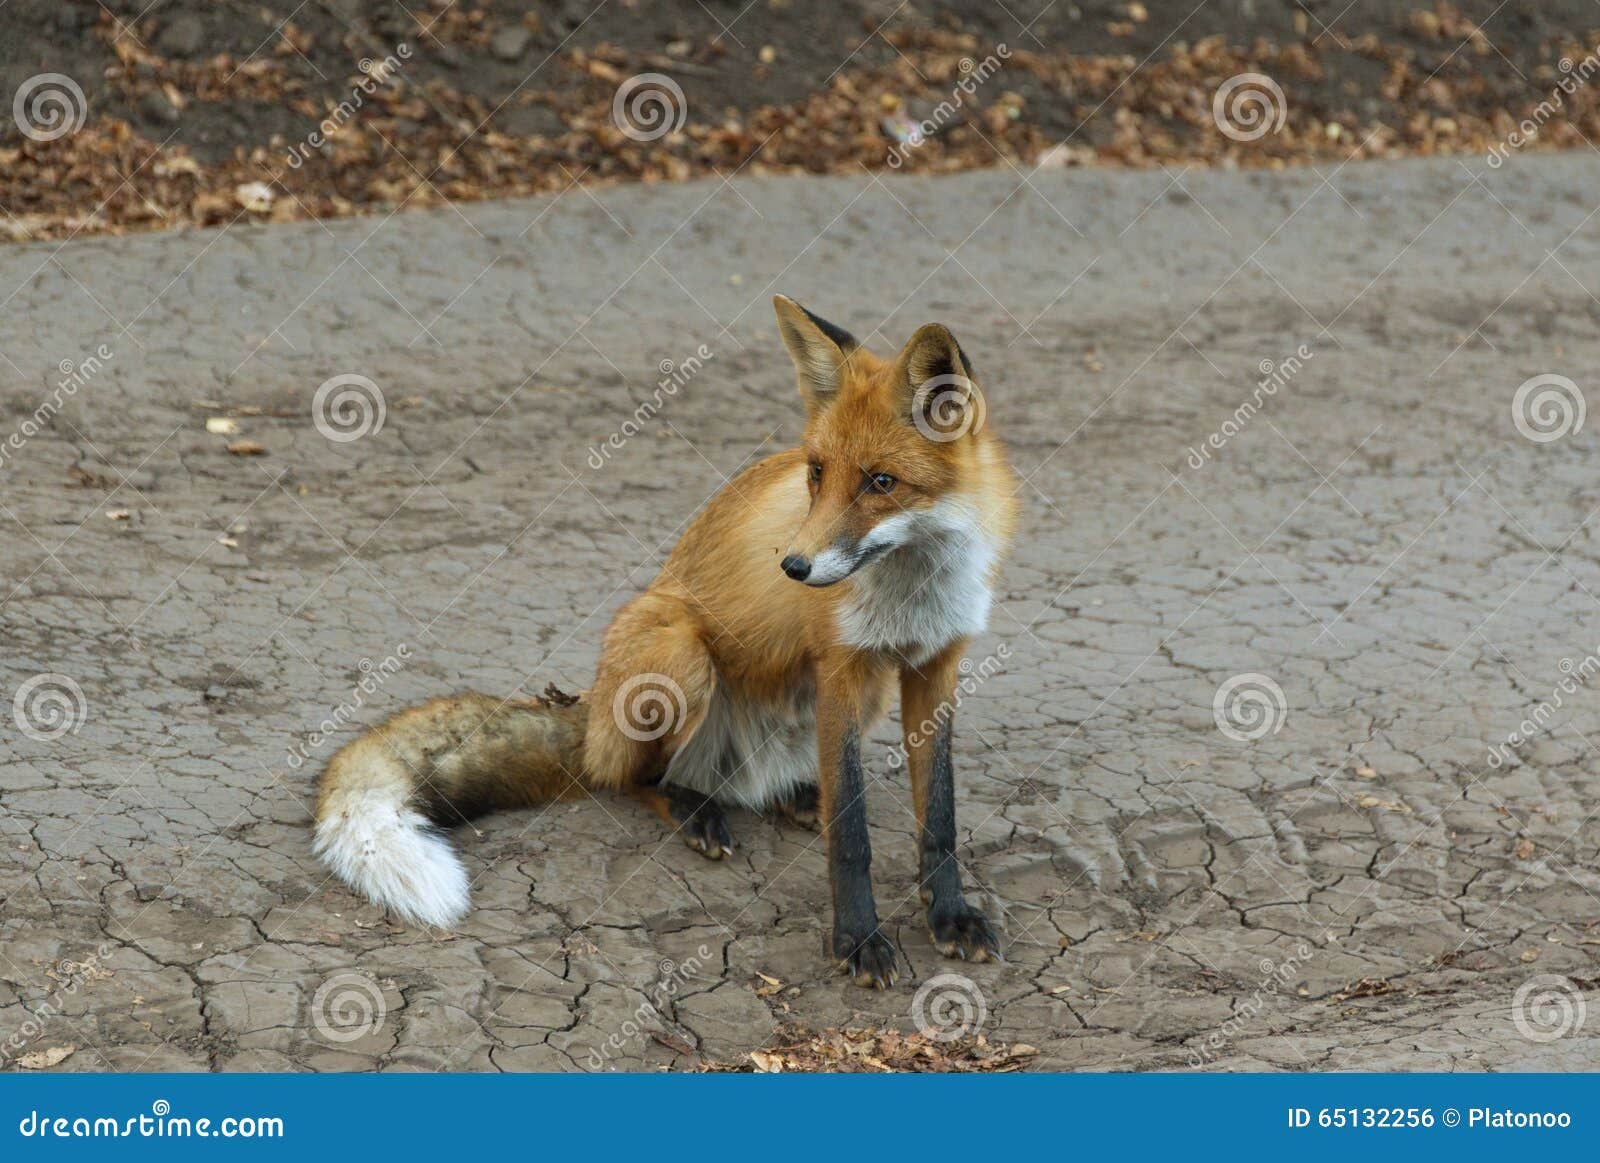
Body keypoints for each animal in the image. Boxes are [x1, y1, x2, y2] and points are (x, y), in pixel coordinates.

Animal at [313, 296, 1018, 988]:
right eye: (817, 473)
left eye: (881, 482)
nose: (793, 567)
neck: (913, 590)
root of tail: (589, 709)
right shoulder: (843, 665)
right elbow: (851, 837)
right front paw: (858, 940)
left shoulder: (937, 666)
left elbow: (940, 817)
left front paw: (949, 915)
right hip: (681, 656)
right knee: (632, 777)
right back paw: (693, 808)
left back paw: (792, 795)